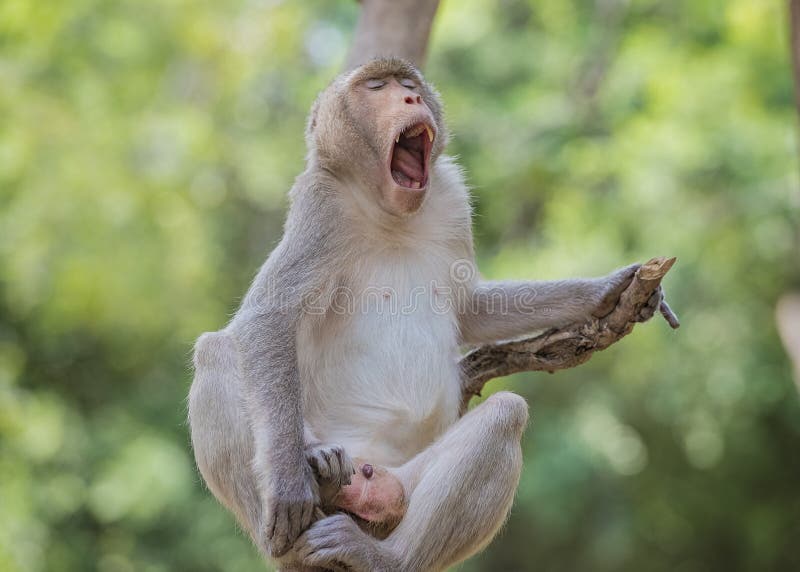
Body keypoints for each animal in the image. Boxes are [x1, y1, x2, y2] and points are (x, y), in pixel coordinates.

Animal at [188, 57, 664, 572]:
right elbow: (265, 318)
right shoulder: (319, 207)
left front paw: (606, 290)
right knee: (217, 351)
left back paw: (386, 557)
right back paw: (301, 527)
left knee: (505, 415)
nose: (411, 99)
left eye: (408, 84)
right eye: (377, 87)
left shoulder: (452, 198)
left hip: (400, 486)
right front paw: (289, 482)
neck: (389, 212)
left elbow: (471, 309)